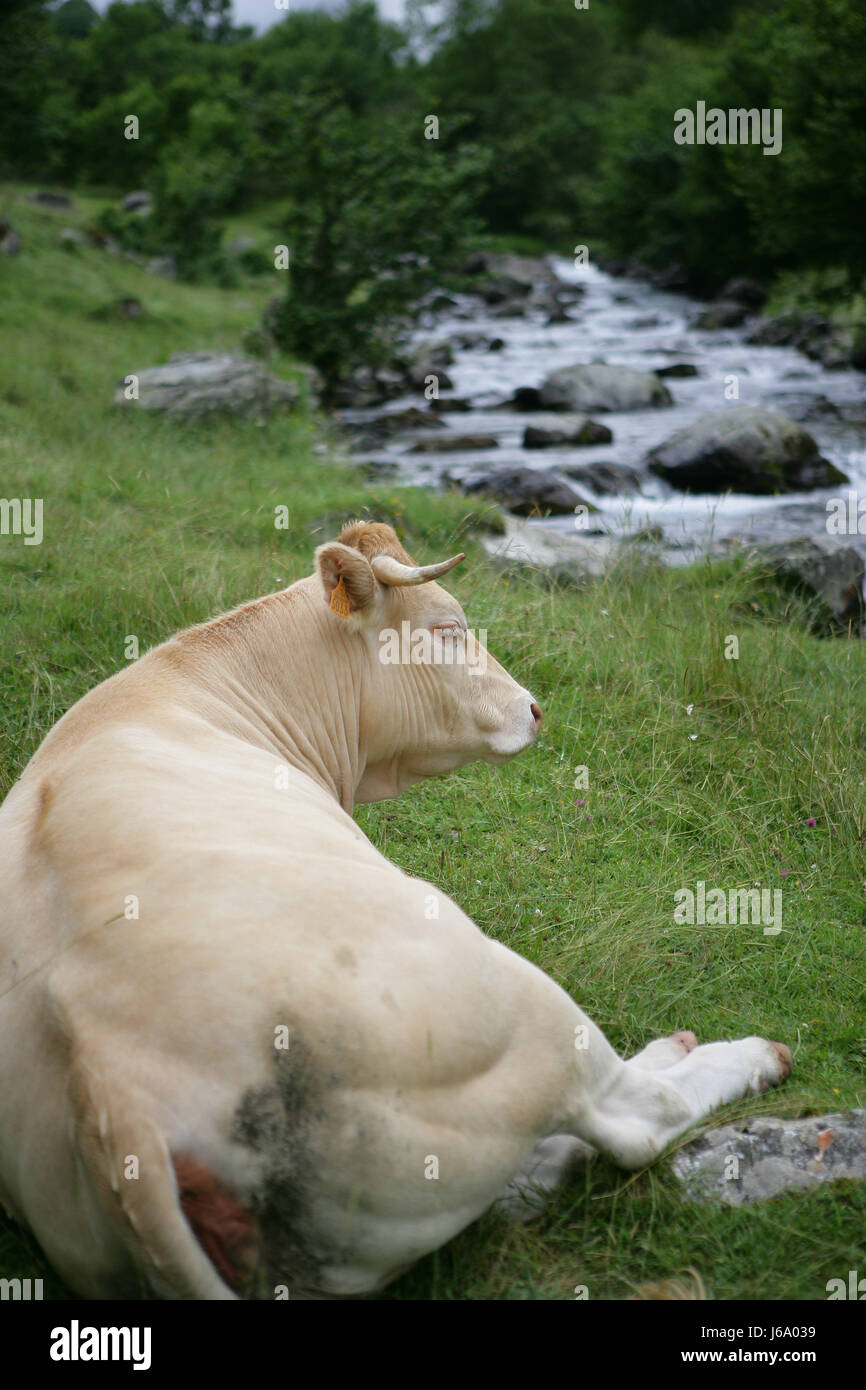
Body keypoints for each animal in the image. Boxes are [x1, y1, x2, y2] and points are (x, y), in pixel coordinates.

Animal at [0, 521, 791, 1299]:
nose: (533, 708)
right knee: (635, 1118)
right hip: (514, 1004)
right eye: (447, 629)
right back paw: (736, 1056)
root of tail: (110, 1086)